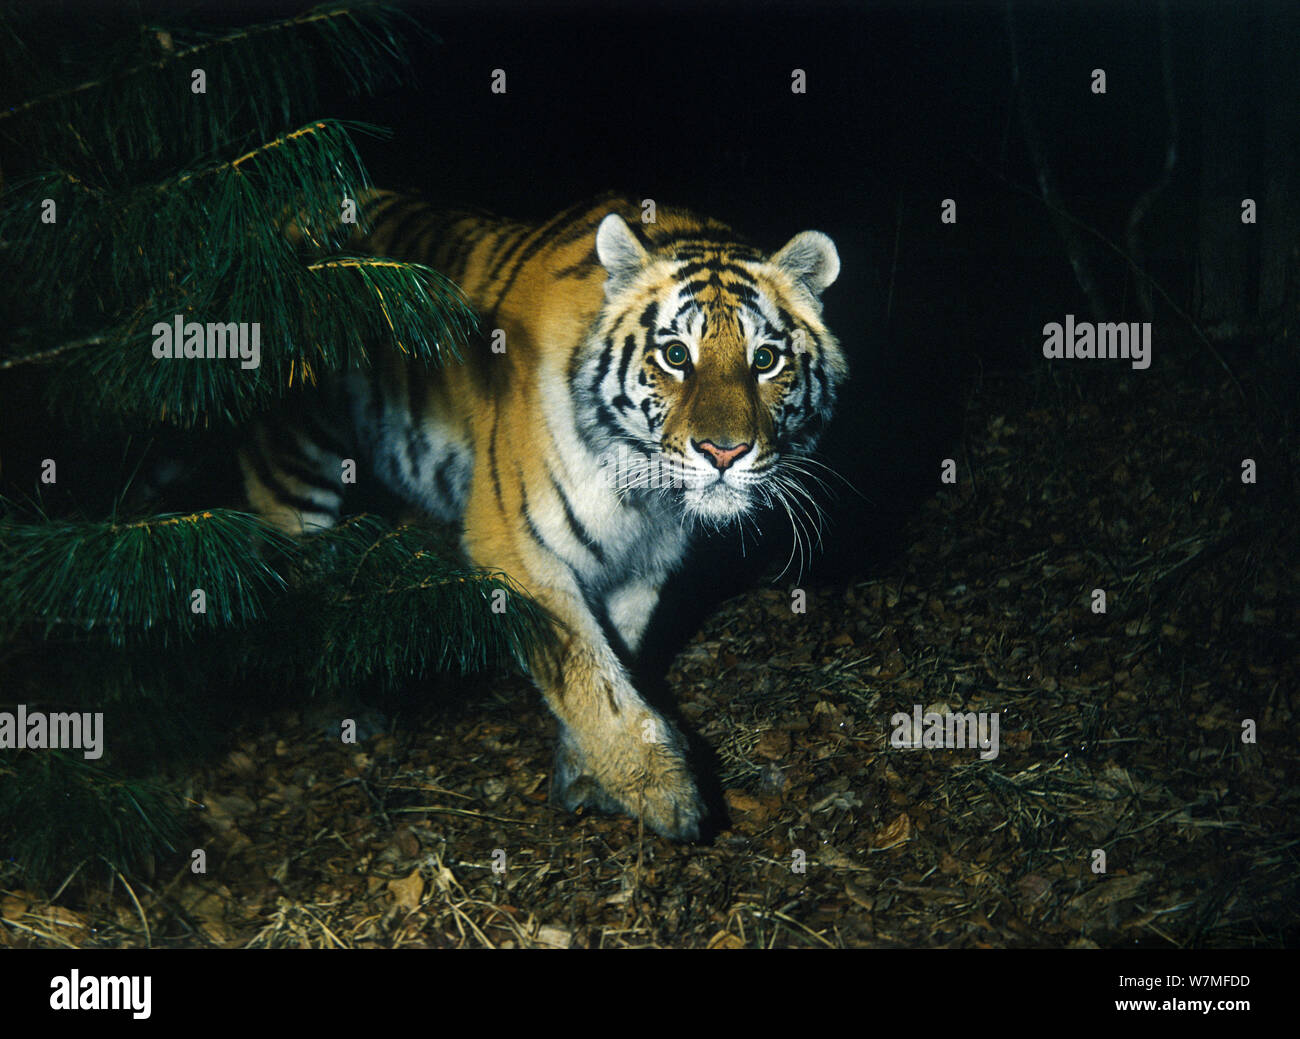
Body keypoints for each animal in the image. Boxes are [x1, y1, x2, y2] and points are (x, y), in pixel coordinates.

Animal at [240, 190, 846, 839]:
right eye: (677, 355)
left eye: (766, 360)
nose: (724, 452)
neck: (645, 493)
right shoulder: (516, 546)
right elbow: (587, 672)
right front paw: (665, 793)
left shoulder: (641, 568)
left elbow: (619, 657)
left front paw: (587, 776)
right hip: (294, 467)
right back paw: (337, 708)